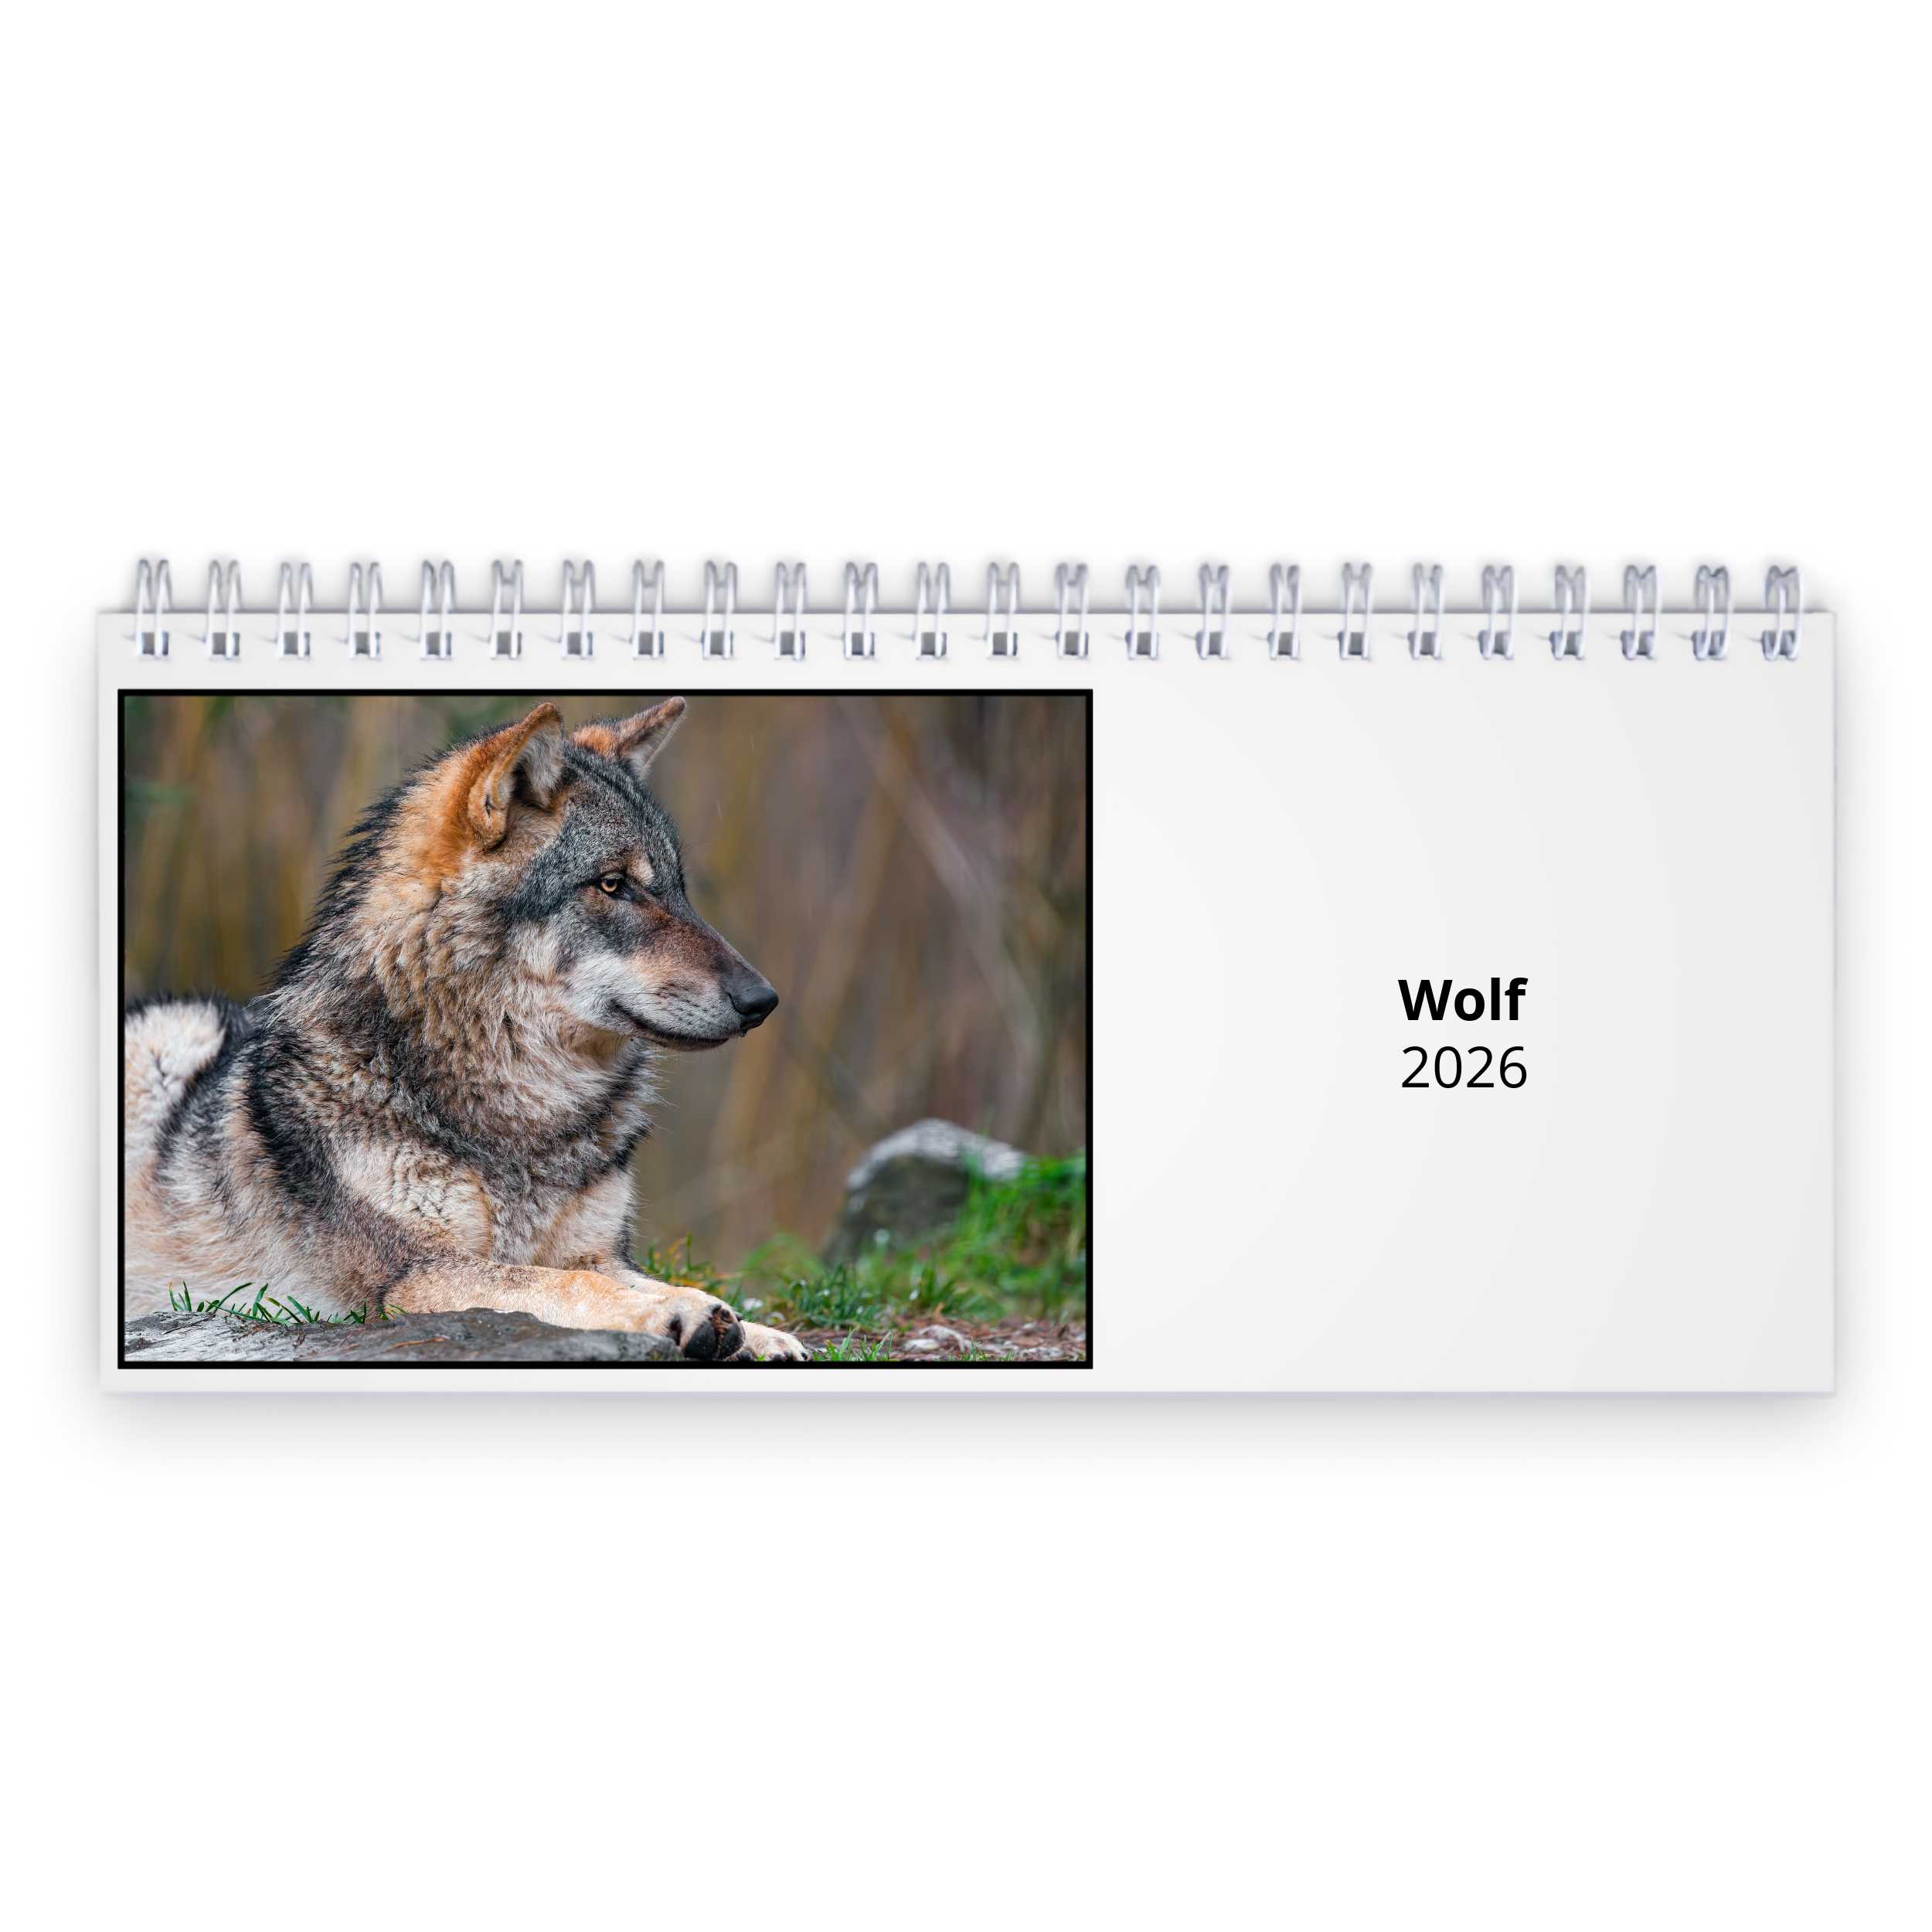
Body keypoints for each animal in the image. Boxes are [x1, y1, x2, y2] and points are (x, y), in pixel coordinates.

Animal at [123, 697, 808, 1361]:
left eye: (677, 889)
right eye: (613, 884)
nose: (763, 1000)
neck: (529, 1117)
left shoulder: (602, 1252)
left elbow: (632, 1278)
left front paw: (757, 1331)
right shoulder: (418, 1276)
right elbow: (569, 1284)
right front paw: (684, 1314)